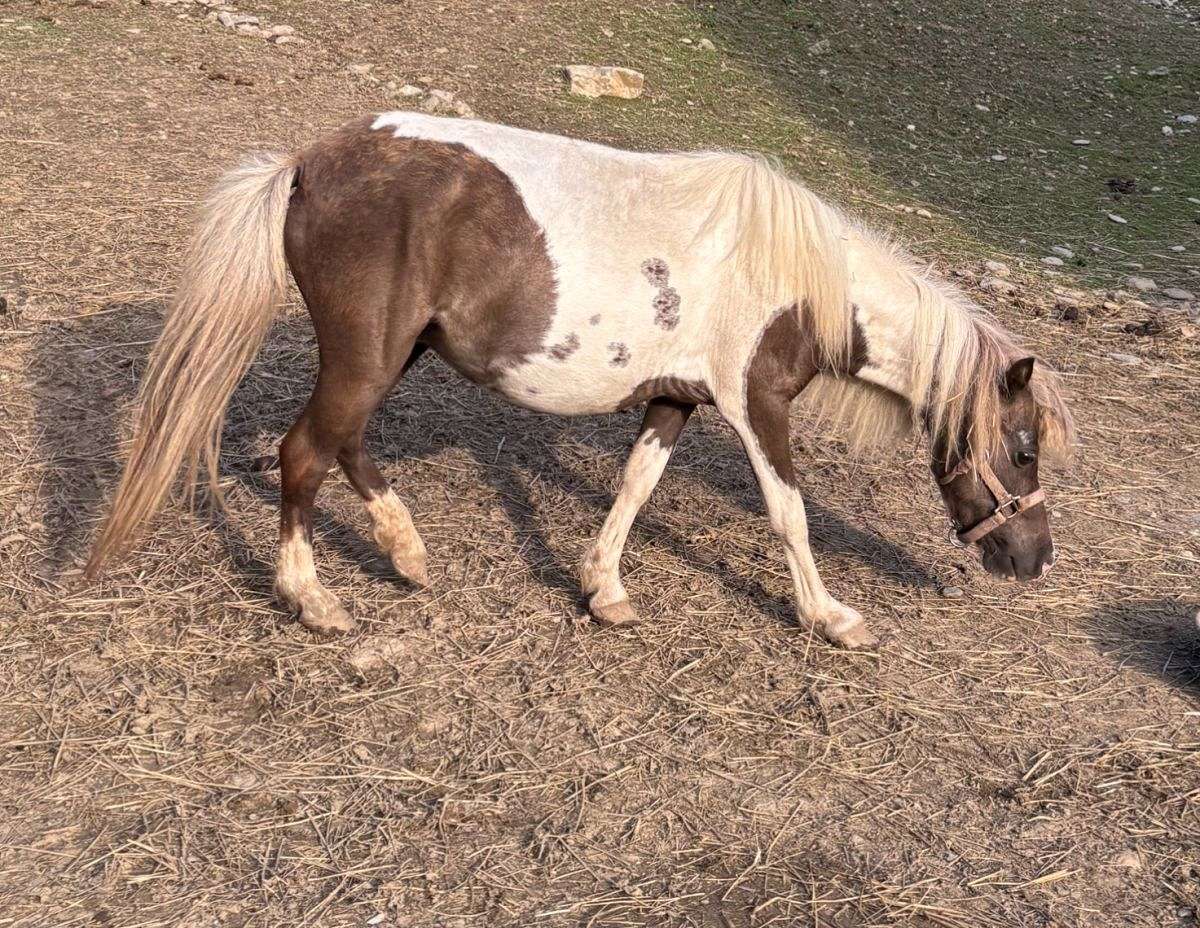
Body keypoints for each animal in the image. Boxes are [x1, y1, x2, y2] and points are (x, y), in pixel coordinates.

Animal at [85, 113, 1075, 649]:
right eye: (1023, 449)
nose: (1033, 561)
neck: (797, 277)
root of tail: (307, 164)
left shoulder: (675, 399)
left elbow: (633, 489)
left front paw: (603, 590)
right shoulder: (757, 409)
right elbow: (788, 515)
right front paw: (831, 616)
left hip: (392, 355)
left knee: (346, 445)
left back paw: (406, 554)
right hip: (367, 355)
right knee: (304, 454)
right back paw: (314, 599)